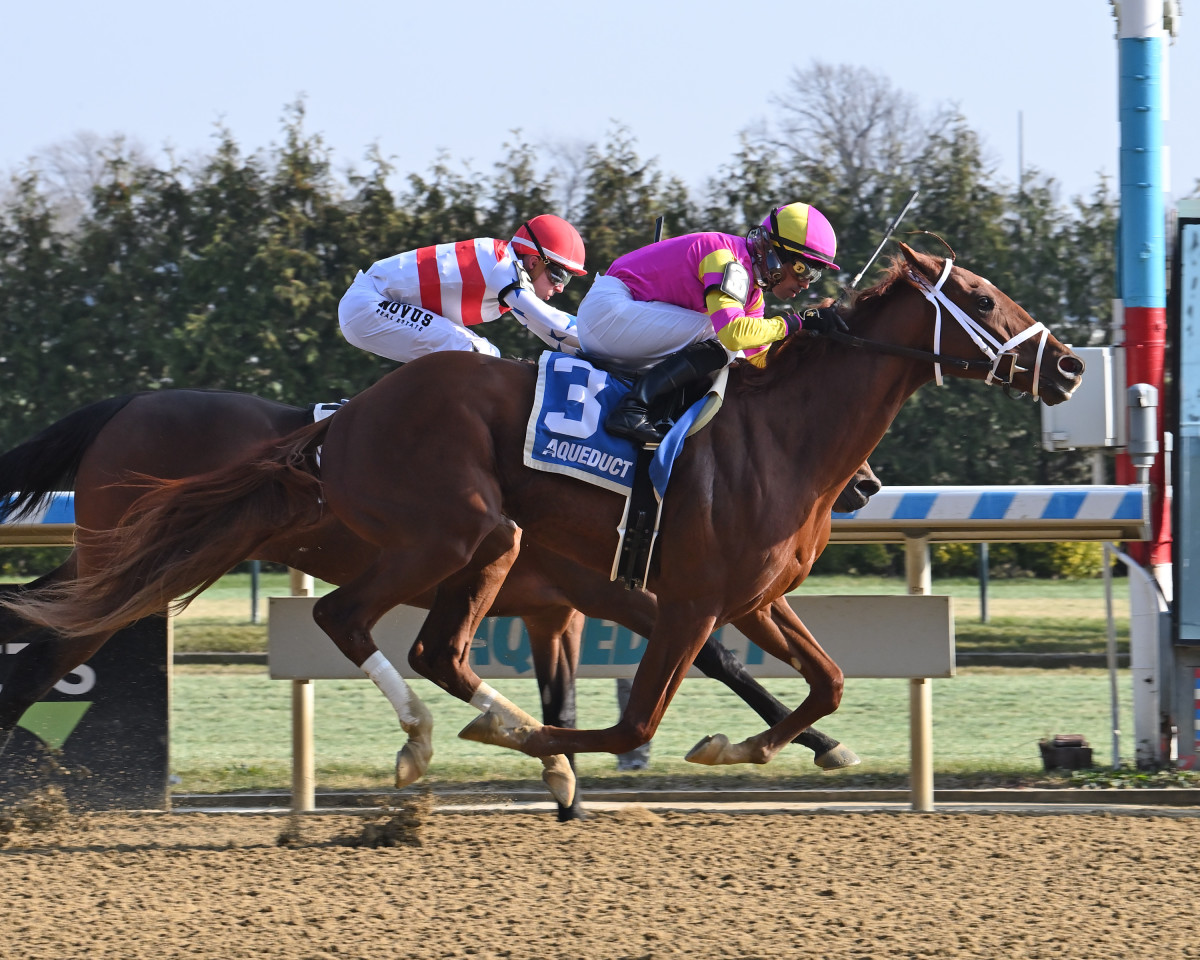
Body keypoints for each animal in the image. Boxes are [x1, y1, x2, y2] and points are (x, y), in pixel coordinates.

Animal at [0, 389, 874, 817]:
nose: (865, 485)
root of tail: (123, 407)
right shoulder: (613, 590)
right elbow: (719, 655)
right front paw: (815, 742)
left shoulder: (554, 606)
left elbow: (561, 691)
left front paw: (557, 774)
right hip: (140, 550)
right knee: (46, 642)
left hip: (133, 557)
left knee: (46, 635)